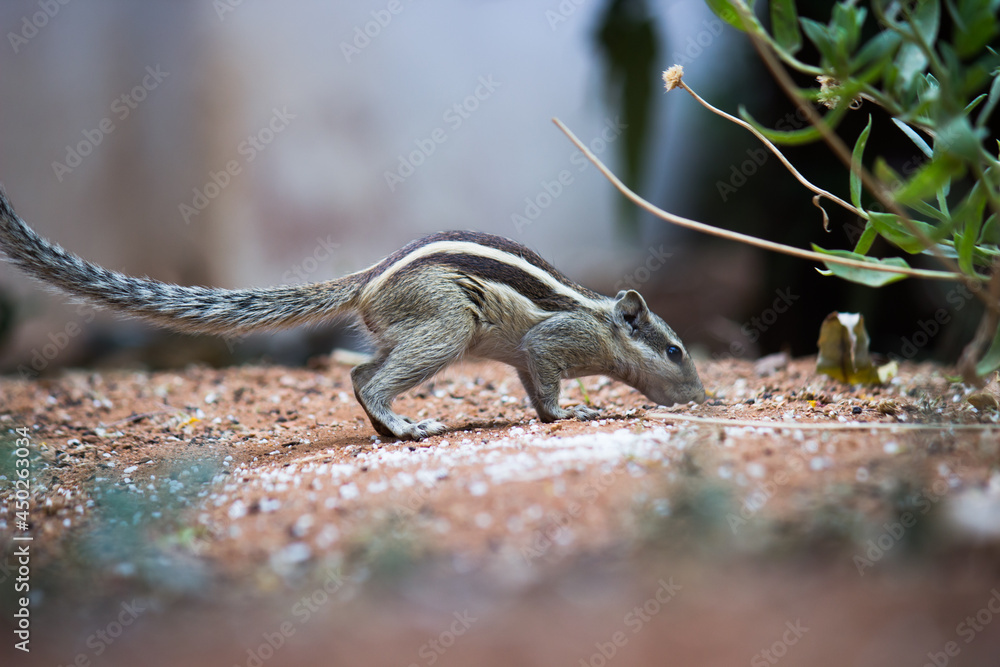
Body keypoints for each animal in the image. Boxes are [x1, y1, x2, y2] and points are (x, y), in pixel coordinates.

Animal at [0, 189, 705, 440]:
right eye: (675, 351)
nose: (702, 396)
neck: (605, 323)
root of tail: (367, 281)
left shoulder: (527, 359)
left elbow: (534, 388)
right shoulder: (555, 343)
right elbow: (549, 386)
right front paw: (577, 413)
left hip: (409, 333)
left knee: (356, 375)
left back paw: (385, 428)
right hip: (446, 328)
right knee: (370, 382)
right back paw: (404, 426)